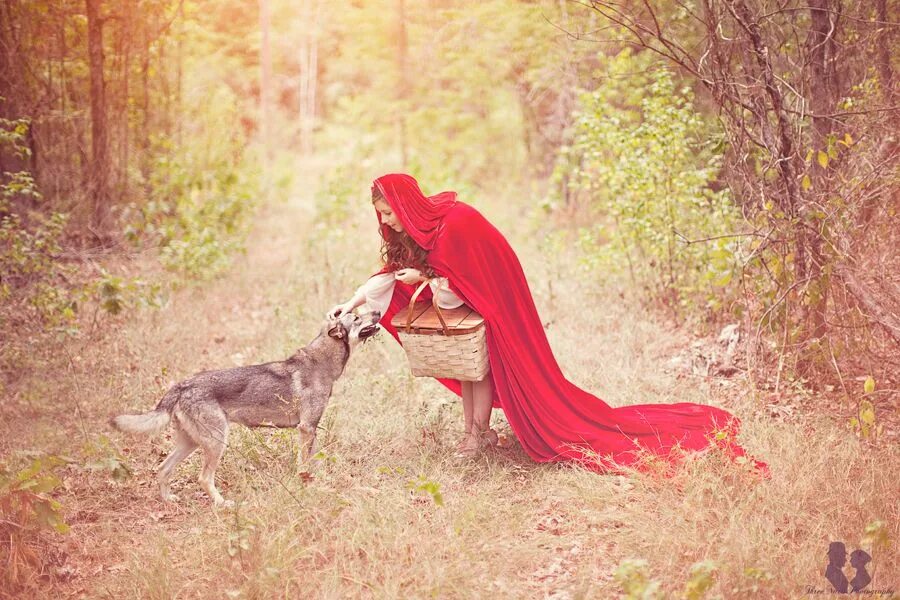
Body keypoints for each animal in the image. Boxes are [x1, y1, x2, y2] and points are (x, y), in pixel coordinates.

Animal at [110, 310, 382, 506]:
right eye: (357, 317)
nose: (378, 310)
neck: (321, 364)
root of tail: (180, 386)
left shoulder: (310, 430)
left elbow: (315, 462)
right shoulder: (306, 428)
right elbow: (304, 464)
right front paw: (305, 483)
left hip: (191, 443)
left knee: (162, 469)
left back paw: (168, 500)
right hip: (216, 443)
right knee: (203, 478)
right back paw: (223, 504)